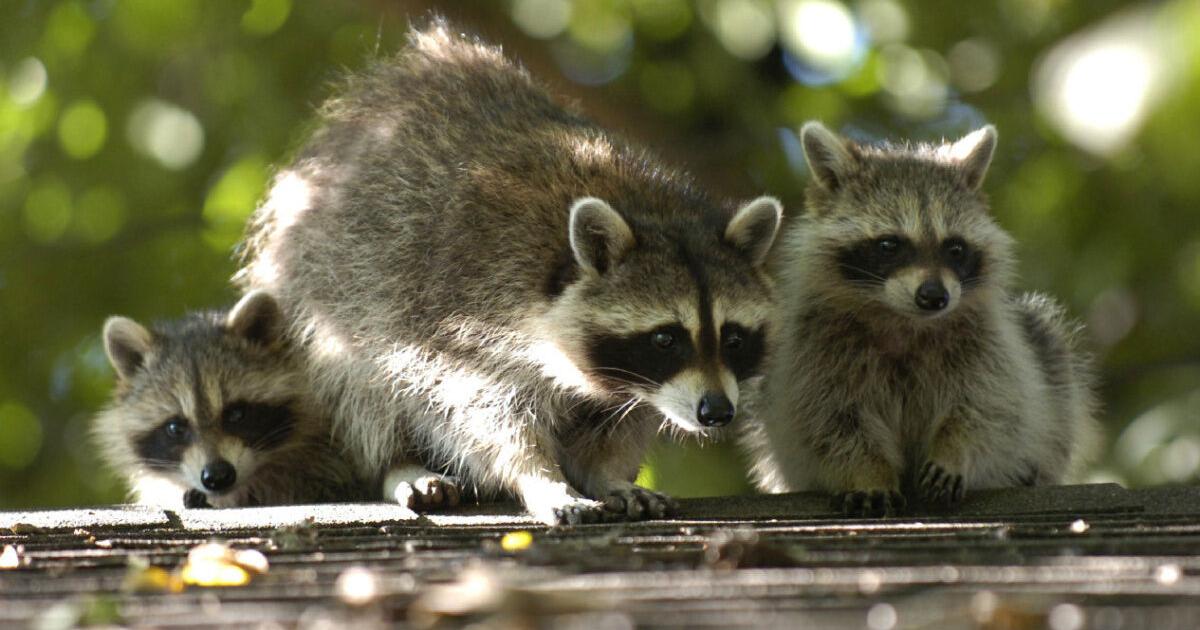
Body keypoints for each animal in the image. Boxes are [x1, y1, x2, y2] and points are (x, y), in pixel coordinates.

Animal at [236, 21, 782, 525]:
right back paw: (398, 462)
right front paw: (539, 477)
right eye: (667, 338)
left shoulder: (635, 385)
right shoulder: (462, 320)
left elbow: (620, 423)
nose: (717, 412)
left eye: (734, 338)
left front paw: (606, 474)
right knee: (361, 386)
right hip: (327, 289)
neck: (651, 212)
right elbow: (482, 415)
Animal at [743, 121, 1099, 517]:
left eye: (954, 248)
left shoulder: (989, 346)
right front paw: (868, 472)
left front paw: (953, 453)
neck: (903, 319)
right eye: (889, 245)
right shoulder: (812, 353)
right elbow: (830, 424)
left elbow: (987, 410)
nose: (934, 296)